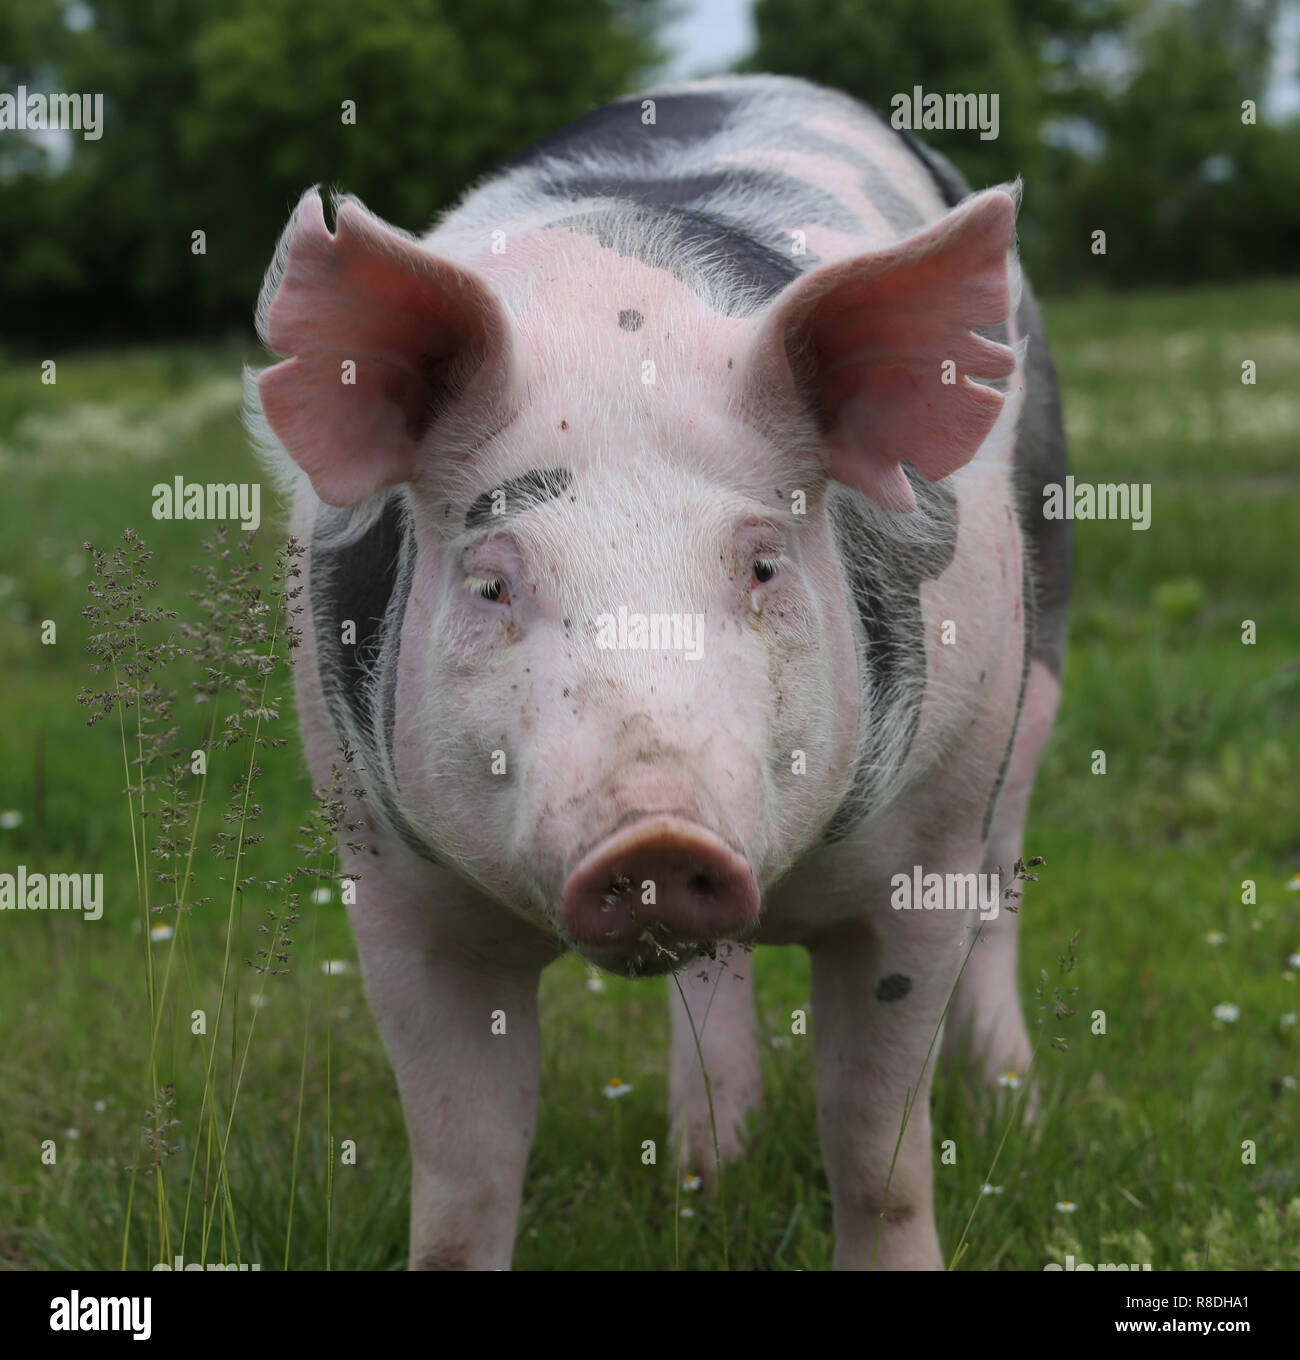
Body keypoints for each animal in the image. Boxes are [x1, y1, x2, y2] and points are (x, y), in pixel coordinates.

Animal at [247, 72, 1069, 1271]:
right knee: (710, 974)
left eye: (762, 563)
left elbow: (877, 1153)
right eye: (492, 582)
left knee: (1004, 883)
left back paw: (1013, 1103)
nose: (657, 835)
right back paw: (706, 1168)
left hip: (1035, 670)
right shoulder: (392, 884)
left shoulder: (926, 847)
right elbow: (463, 1181)